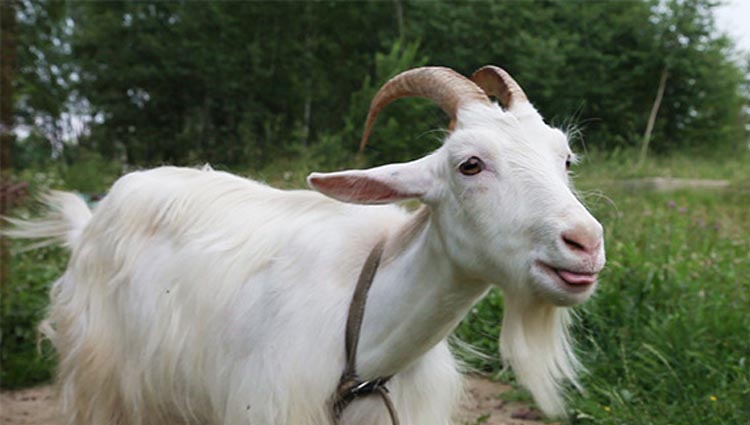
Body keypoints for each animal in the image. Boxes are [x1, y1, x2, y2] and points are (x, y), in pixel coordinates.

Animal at [6, 66, 605, 425]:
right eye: (470, 164)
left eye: (565, 158)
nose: (585, 244)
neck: (363, 345)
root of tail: (92, 217)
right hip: (101, 372)